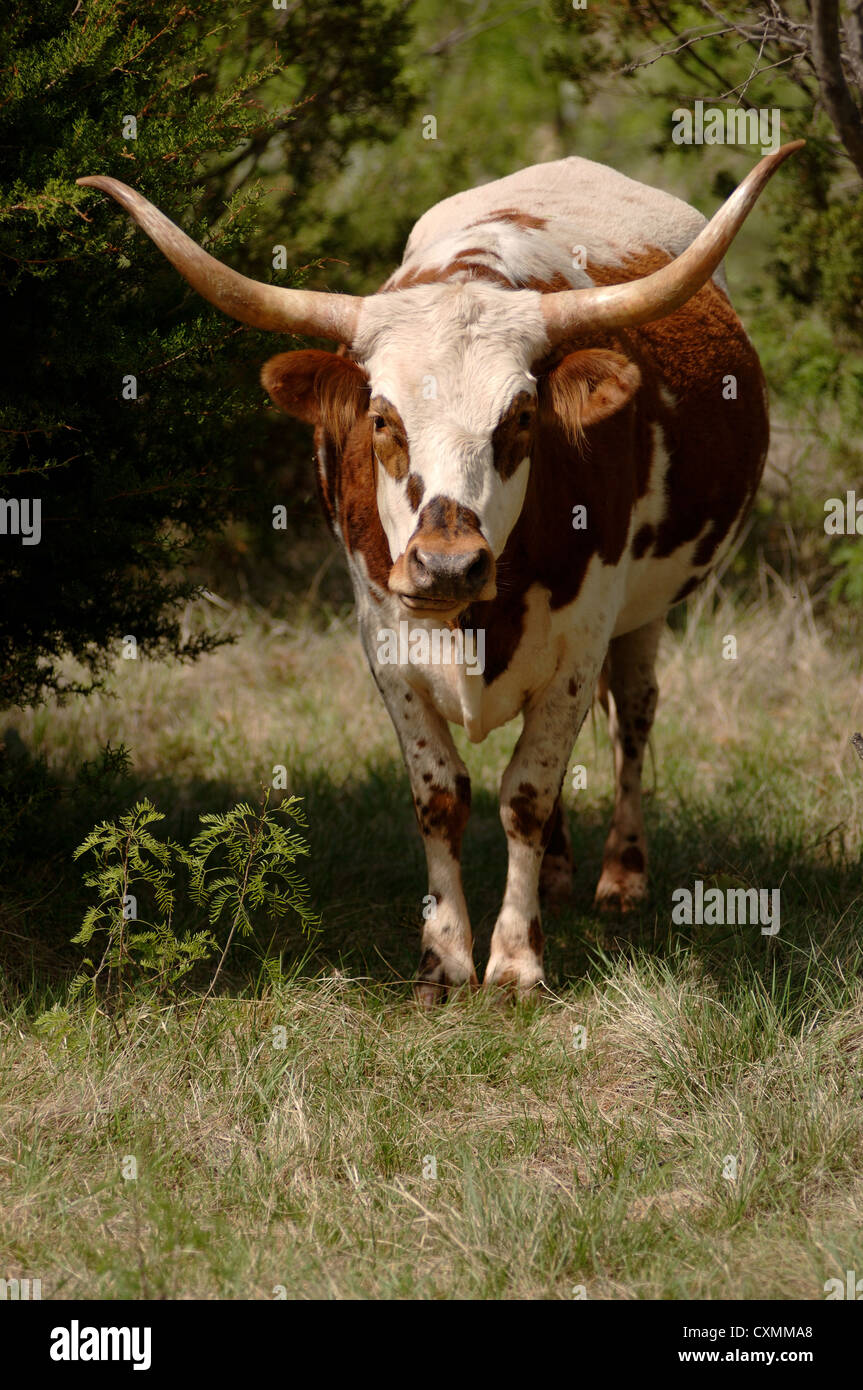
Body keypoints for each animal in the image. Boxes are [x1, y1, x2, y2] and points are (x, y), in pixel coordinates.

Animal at [78, 141, 802, 1004]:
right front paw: (444, 957)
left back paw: (619, 877)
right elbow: (442, 795)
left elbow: (526, 792)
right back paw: (557, 874)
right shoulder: (384, 639)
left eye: (520, 417)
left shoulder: (579, 641)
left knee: (631, 718)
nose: (448, 564)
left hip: (646, 614)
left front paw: (516, 961)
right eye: (382, 418)